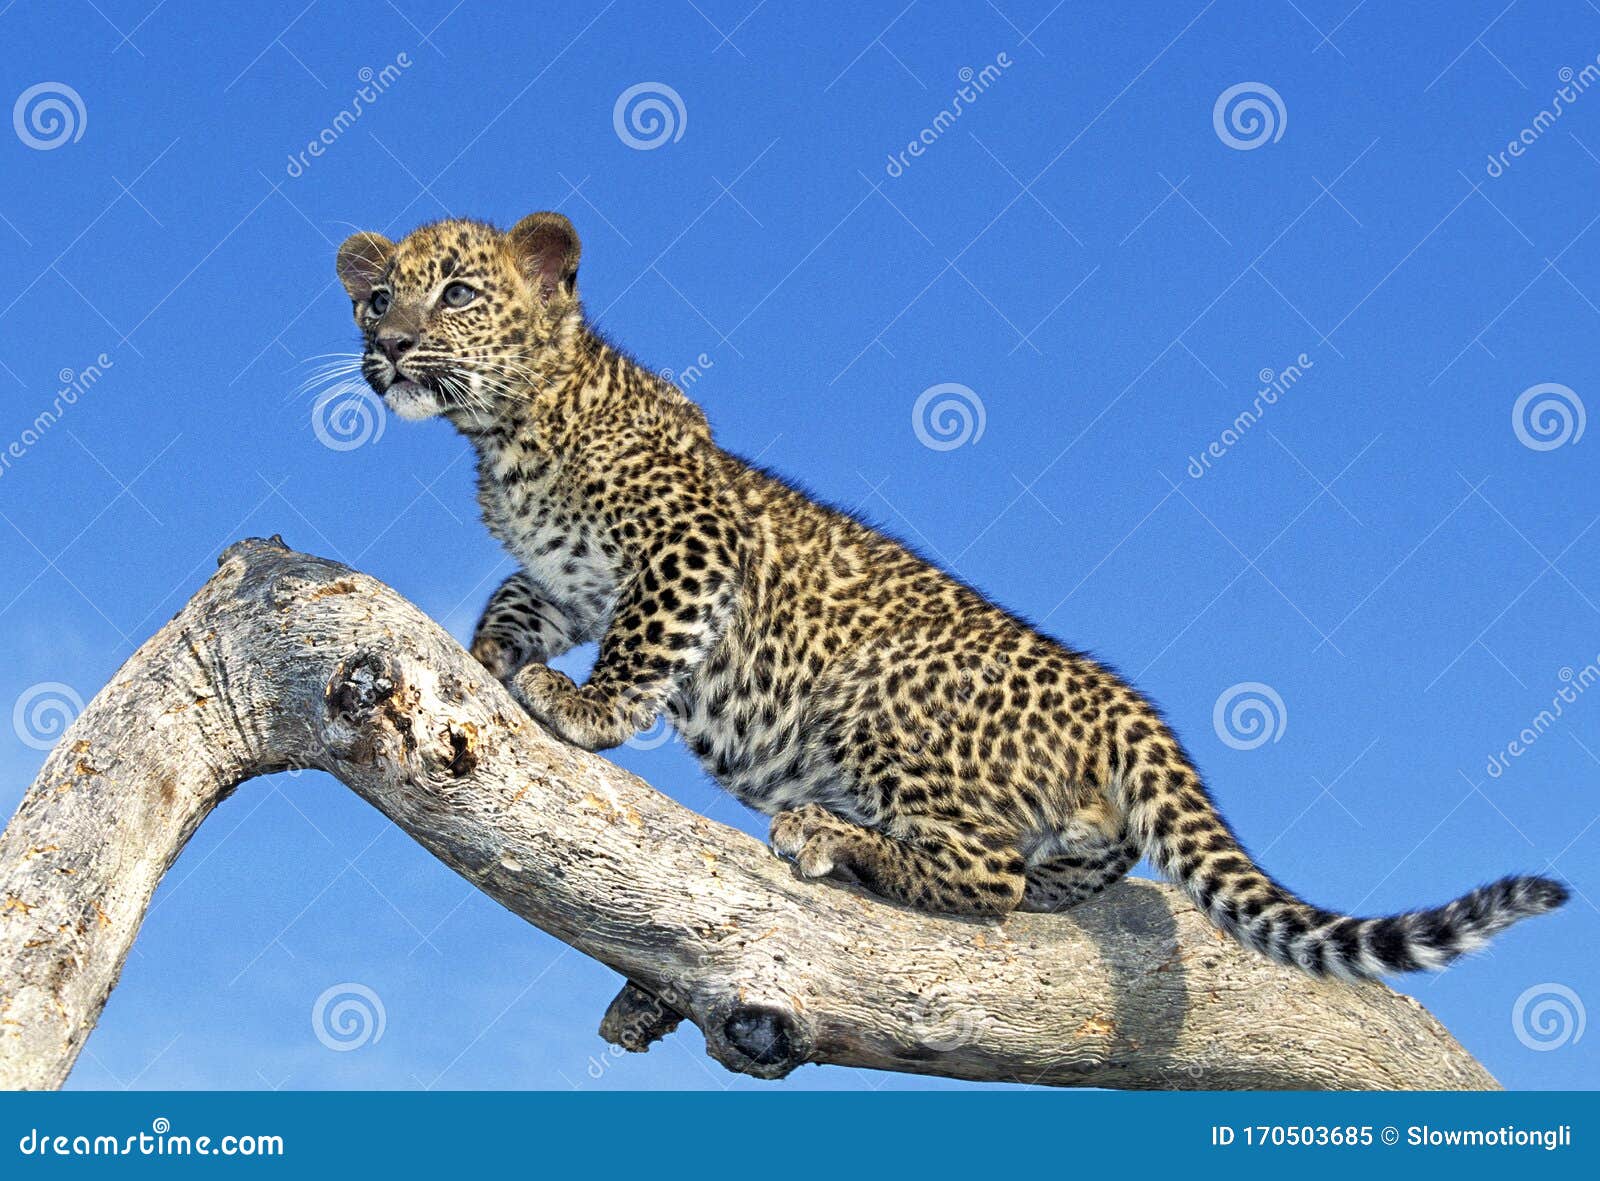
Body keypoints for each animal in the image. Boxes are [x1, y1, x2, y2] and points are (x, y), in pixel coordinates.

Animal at [333, 211, 1567, 982]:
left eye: (456, 293)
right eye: (375, 300)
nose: (384, 346)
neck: (503, 432)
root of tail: (1122, 703)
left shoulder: (690, 544)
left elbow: (640, 645)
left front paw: (584, 708)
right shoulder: (569, 574)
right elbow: (517, 598)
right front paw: (494, 656)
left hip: (876, 698)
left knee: (983, 874)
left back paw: (832, 836)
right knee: (1058, 873)